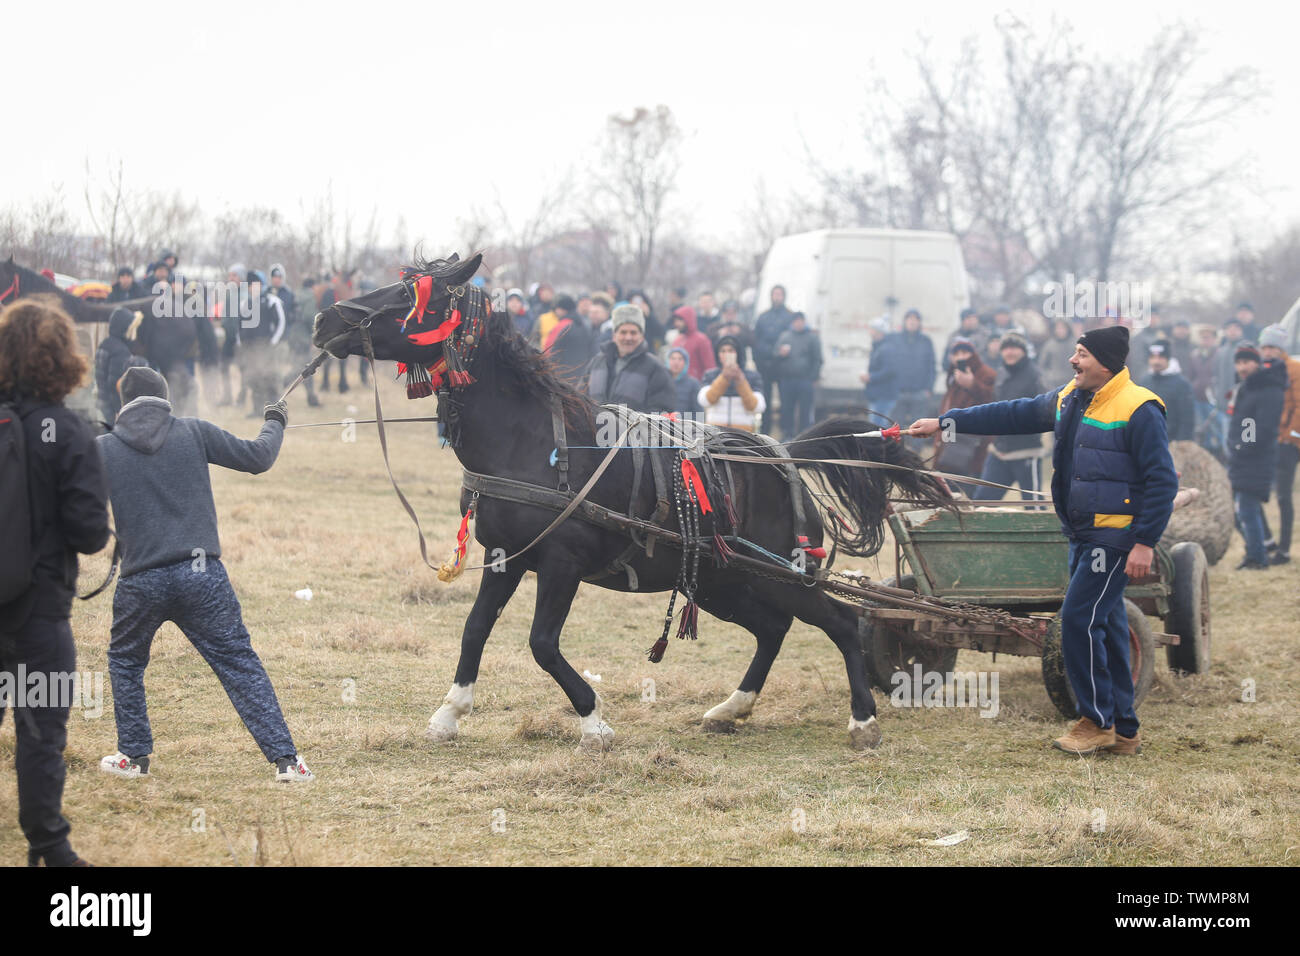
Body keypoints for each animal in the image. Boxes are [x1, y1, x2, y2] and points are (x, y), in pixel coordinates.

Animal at [311, 252, 952, 751]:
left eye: (409, 295)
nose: (324, 318)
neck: (532, 442)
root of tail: (780, 454)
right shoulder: (504, 556)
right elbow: (474, 630)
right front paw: (449, 713)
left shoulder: (561, 564)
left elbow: (541, 644)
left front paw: (593, 720)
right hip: (725, 581)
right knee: (772, 629)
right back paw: (732, 709)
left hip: (780, 575)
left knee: (839, 622)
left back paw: (863, 720)